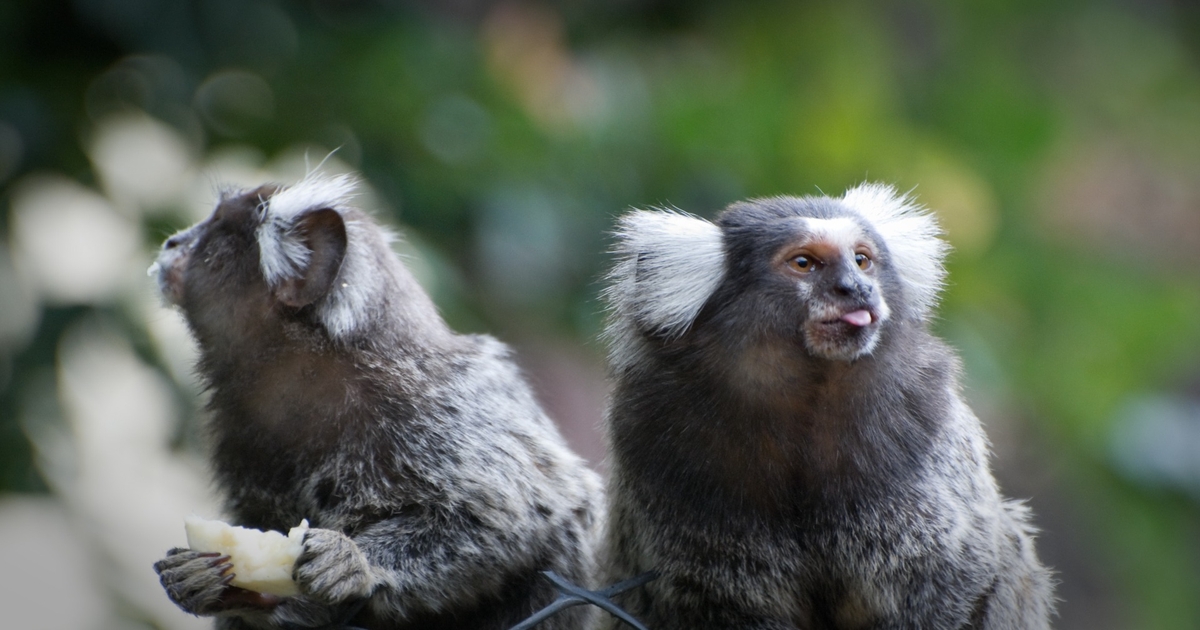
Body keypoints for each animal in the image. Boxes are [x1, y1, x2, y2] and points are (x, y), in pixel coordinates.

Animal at [149, 173, 603, 630]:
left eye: (215, 229)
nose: (172, 243)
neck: (309, 379)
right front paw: (212, 586)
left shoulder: (444, 413)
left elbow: (508, 519)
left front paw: (356, 562)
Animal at [596, 184, 1055, 630]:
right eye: (804, 263)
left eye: (862, 261)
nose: (856, 288)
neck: (805, 401)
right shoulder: (656, 439)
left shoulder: (924, 426)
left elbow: (950, 582)